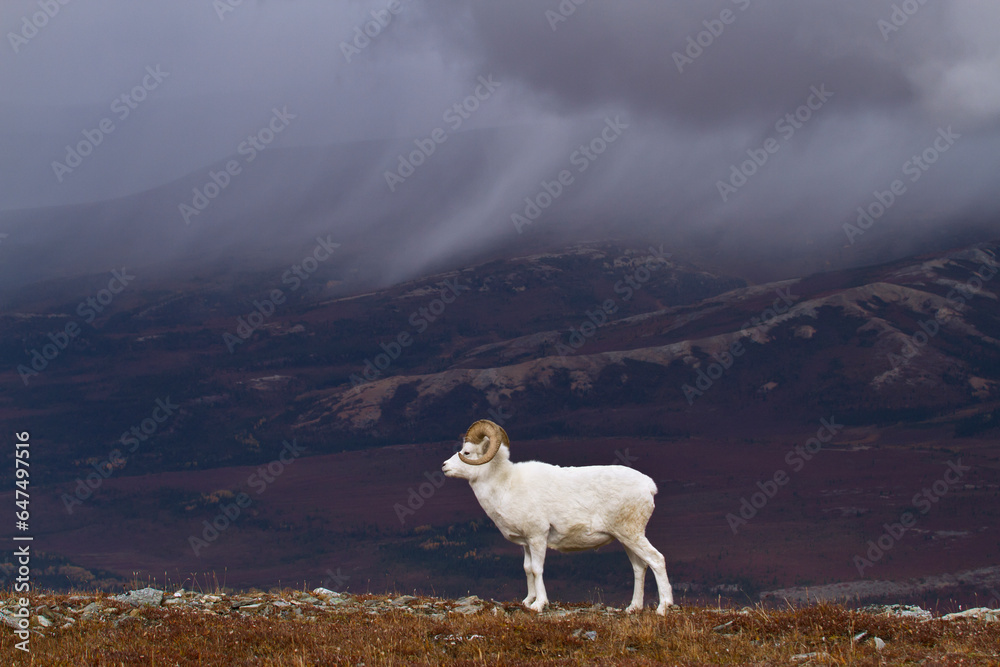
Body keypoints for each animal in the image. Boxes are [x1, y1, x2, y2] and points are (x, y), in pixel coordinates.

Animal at [441, 419, 674, 615]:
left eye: (467, 452)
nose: (444, 466)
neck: (505, 485)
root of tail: (648, 486)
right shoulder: (526, 542)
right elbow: (527, 569)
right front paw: (528, 601)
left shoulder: (538, 537)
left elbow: (537, 569)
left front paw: (538, 605)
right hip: (626, 539)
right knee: (639, 567)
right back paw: (633, 608)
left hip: (632, 534)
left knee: (656, 560)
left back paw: (663, 608)